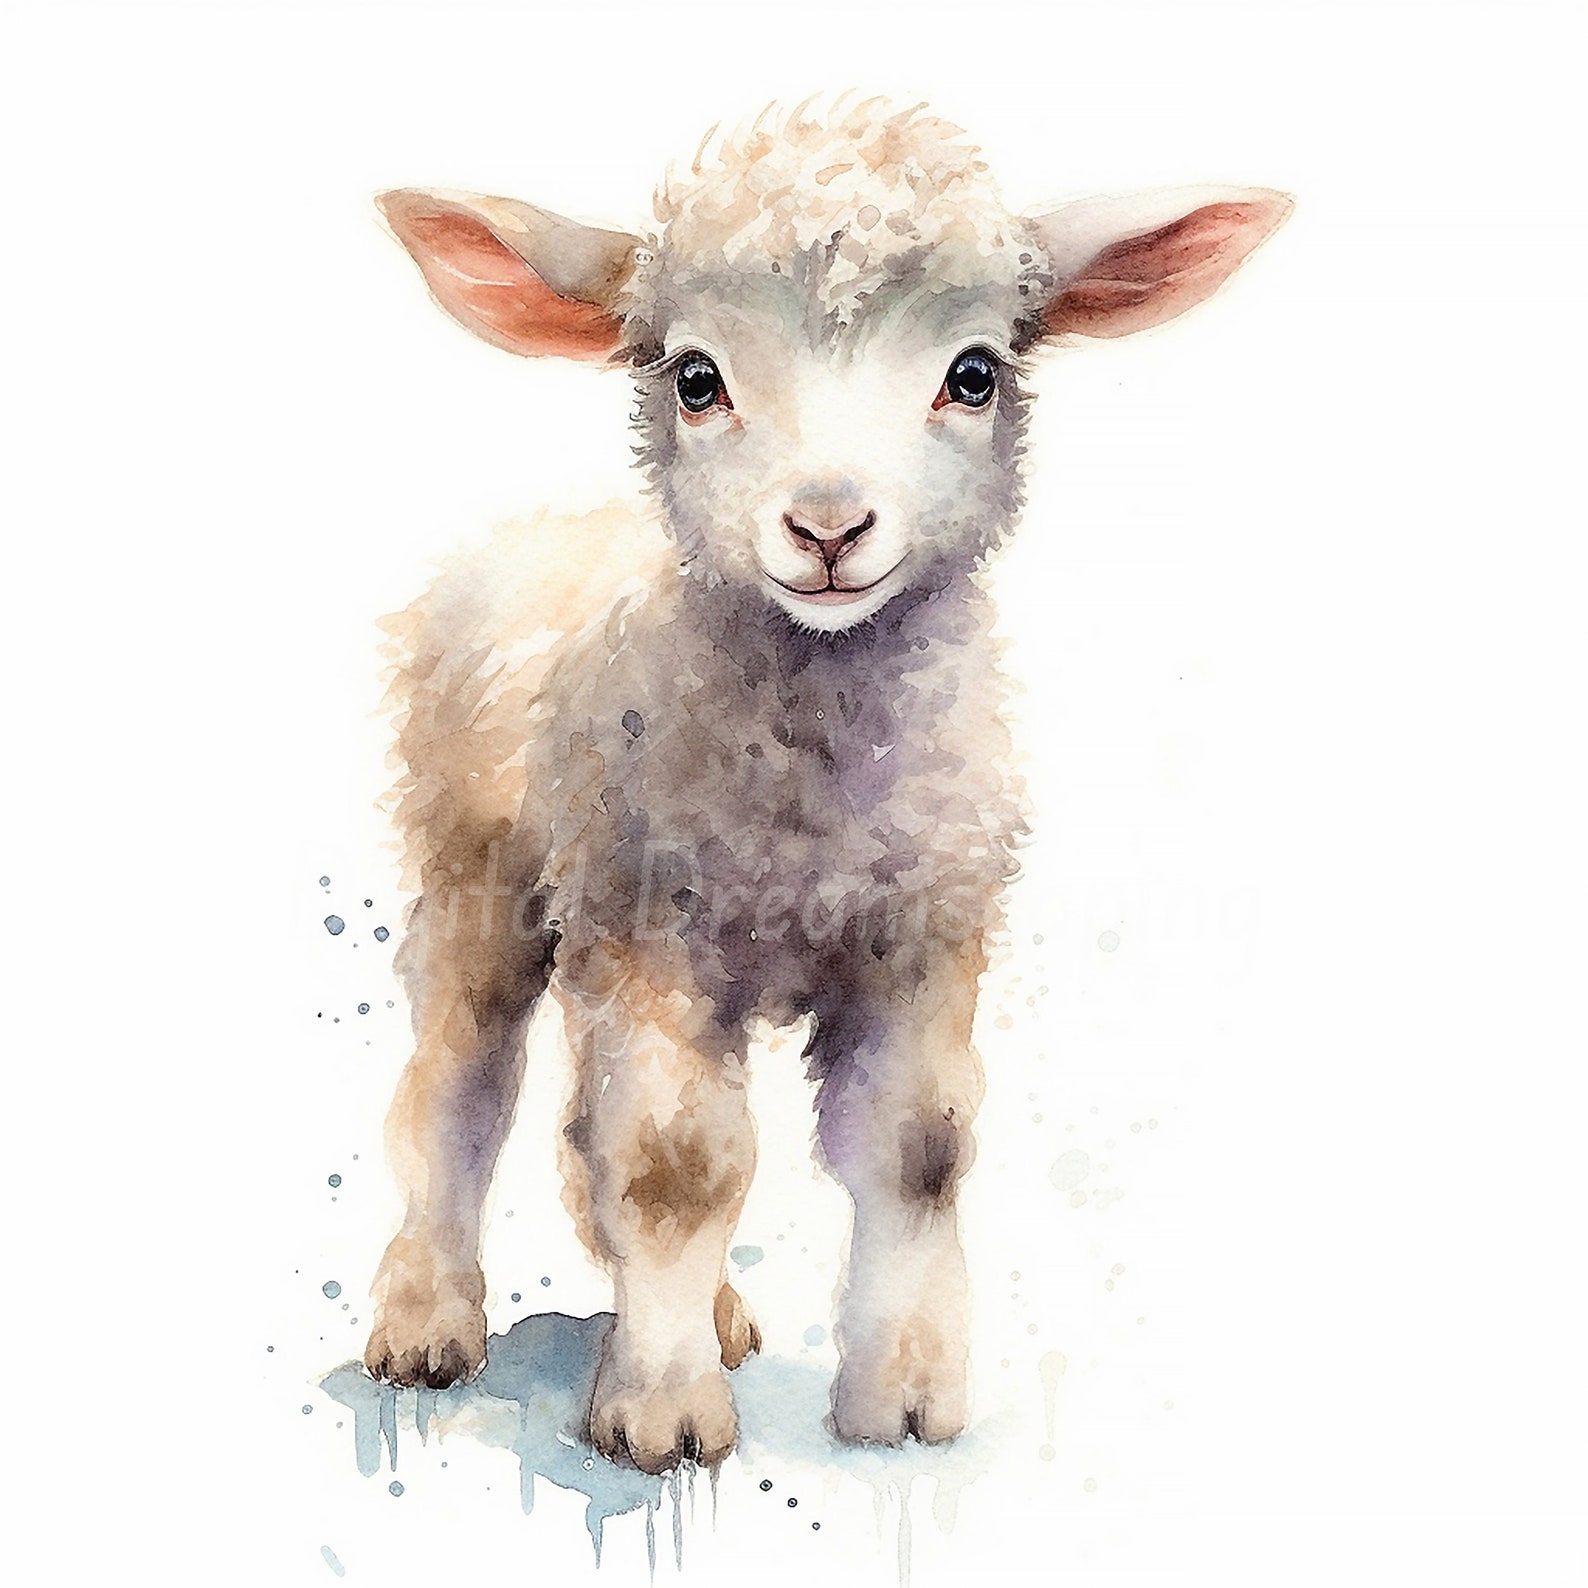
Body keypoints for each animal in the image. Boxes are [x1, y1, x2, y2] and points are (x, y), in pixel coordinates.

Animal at [361, 97, 1290, 1474]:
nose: (829, 528)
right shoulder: (660, 933)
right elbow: (674, 1164)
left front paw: (901, 1397)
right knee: (457, 1088)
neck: (816, 796)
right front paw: (661, 1413)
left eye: (974, 373)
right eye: (695, 378)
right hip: (482, 872)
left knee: (577, 1123)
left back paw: (713, 1312)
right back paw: (428, 1319)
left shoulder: (922, 934)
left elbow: (915, 1147)